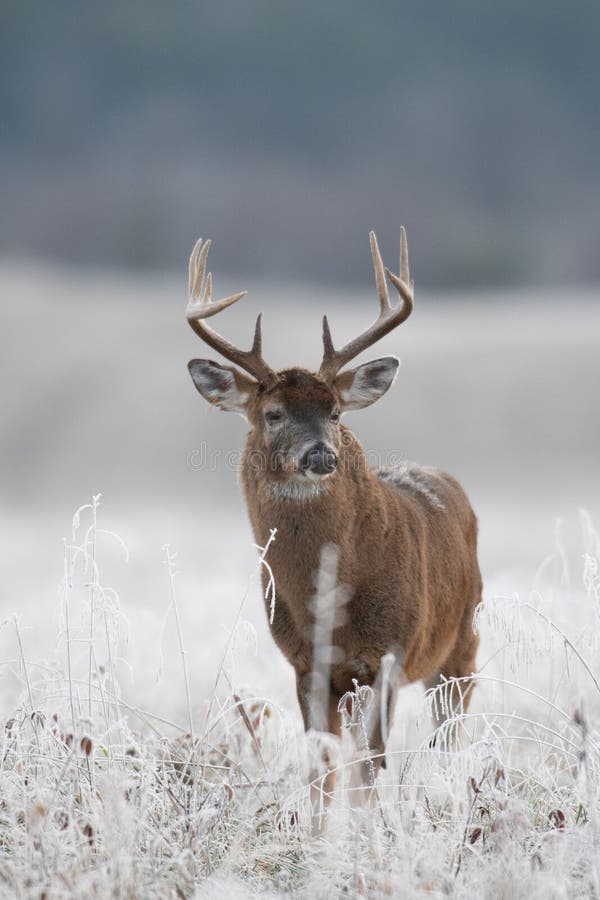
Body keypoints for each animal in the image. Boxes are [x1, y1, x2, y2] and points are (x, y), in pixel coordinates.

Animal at [184, 229, 482, 811]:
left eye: (337, 413)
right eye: (272, 413)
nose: (322, 453)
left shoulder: (386, 657)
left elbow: (368, 769)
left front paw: (366, 835)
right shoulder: (306, 664)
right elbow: (321, 772)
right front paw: (321, 834)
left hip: (463, 642)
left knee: (450, 734)